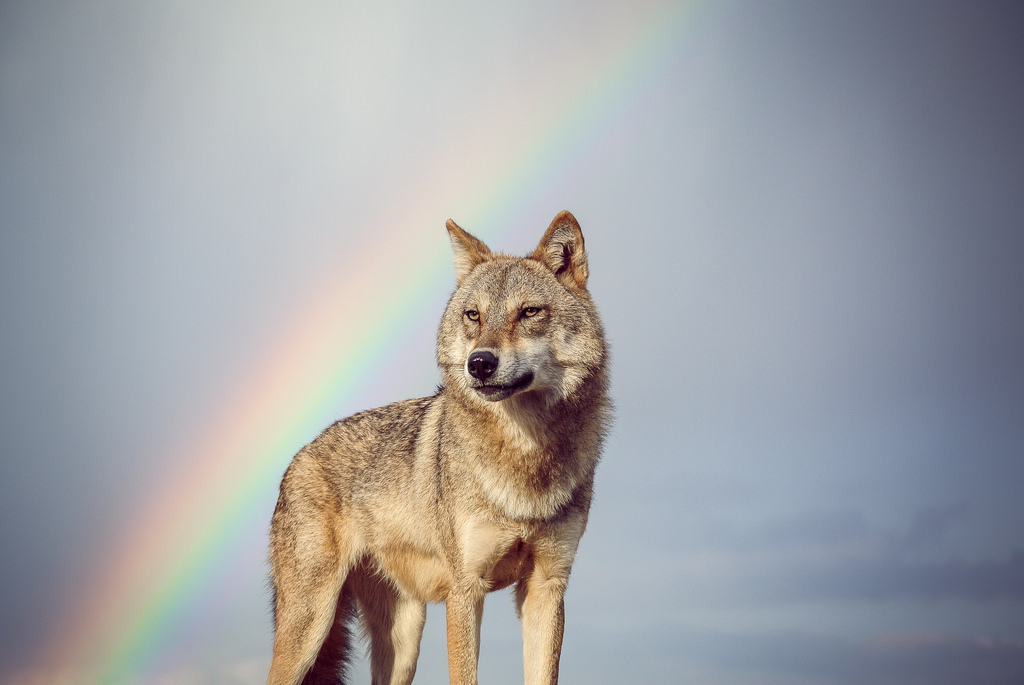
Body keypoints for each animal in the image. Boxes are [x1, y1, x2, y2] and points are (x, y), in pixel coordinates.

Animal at [267, 211, 610, 685]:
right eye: (473, 315)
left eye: (528, 312)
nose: (479, 363)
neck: (524, 452)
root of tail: (298, 456)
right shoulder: (464, 589)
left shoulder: (547, 586)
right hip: (309, 627)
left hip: (403, 642)